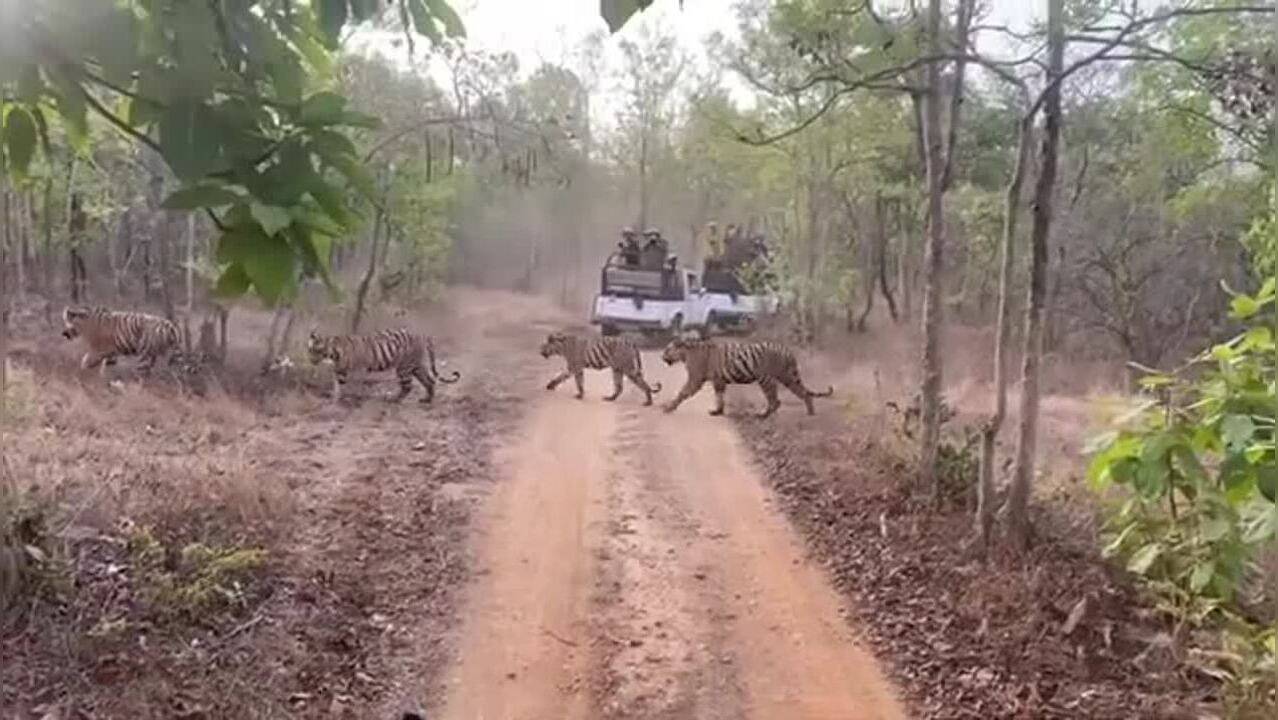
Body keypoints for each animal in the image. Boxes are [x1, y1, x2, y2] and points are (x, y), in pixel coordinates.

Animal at [306, 328, 460, 403]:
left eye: (317, 350)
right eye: (309, 350)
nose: (311, 360)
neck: (334, 354)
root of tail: (422, 335)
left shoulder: (359, 369)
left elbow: (357, 385)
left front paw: (355, 397)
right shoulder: (339, 372)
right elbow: (338, 386)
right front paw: (335, 399)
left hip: (404, 368)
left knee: (408, 386)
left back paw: (394, 400)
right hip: (416, 366)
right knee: (429, 380)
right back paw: (427, 400)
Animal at [660, 336, 833, 418]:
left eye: (667, 349)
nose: (662, 357)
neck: (684, 353)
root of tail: (787, 350)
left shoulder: (695, 379)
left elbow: (682, 393)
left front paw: (668, 407)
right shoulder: (719, 380)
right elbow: (719, 396)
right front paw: (718, 411)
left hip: (767, 378)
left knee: (775, 400)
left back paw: (762, 415)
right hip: (786, 376)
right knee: (802, 393)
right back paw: (810, 413)